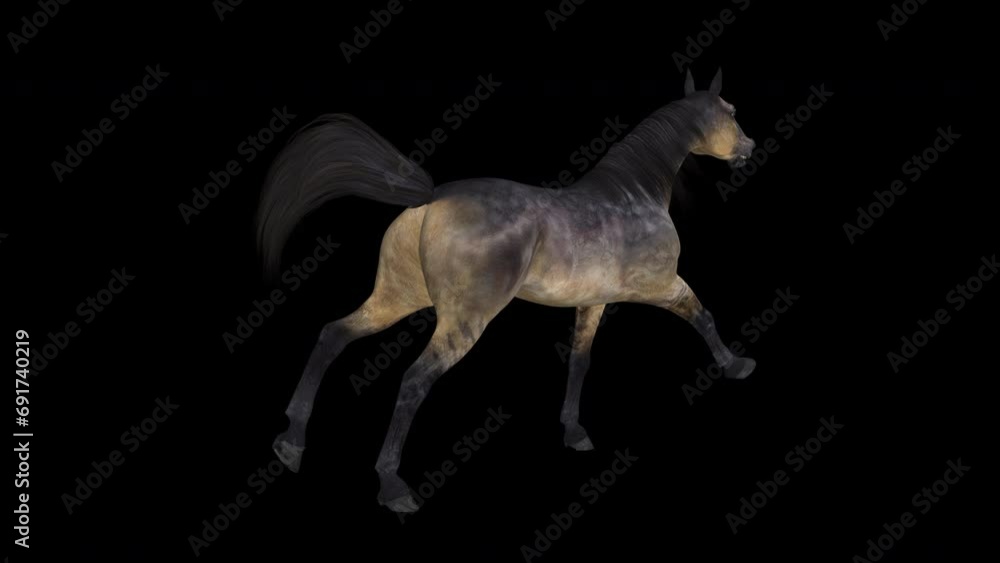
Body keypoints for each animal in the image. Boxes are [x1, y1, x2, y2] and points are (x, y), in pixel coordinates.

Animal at [256, 69, 757, 513]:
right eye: (730, 111)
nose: (749, 149)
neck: (632, 196)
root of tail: (432, 200)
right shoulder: (663, 284)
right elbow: (704, 315)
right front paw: (736, 365)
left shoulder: (592, 302)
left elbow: (580, 361)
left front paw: (574, 432)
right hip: (462, 321)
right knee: (413, 380)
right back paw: (393, 486)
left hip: (396, 298)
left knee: (333, 334)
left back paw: (290, 443)